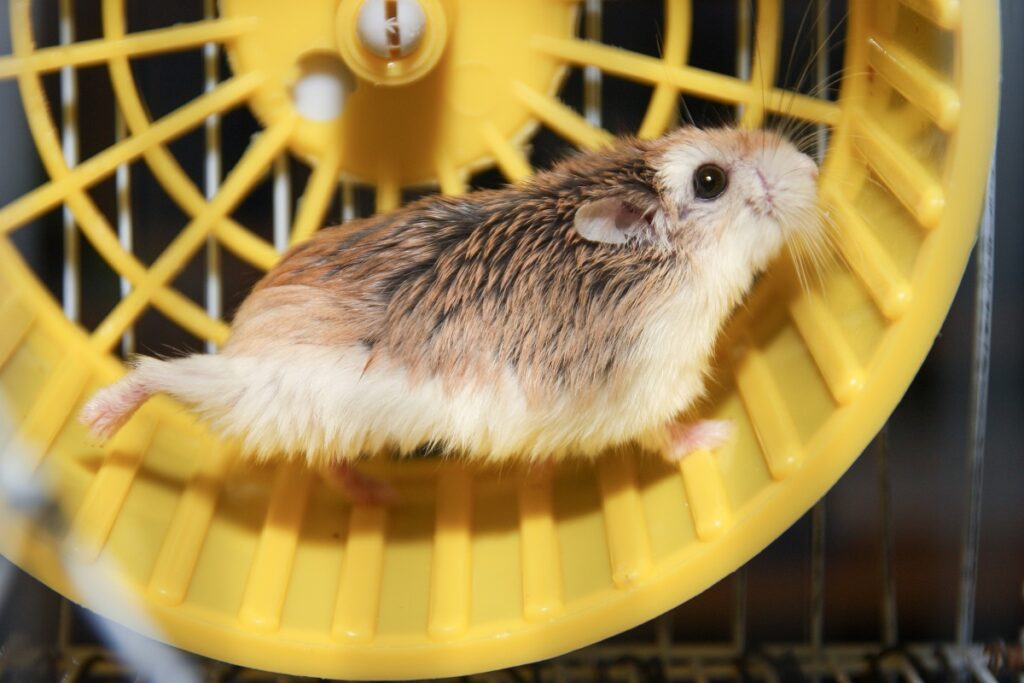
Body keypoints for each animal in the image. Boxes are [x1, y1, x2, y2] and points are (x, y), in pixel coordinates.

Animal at [80, 127, 821, 503]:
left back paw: (377, 495)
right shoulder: (652, 388)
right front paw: (719, 434)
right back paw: (97, 418)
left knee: (325, 462)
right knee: (160, 373)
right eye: (709, 180)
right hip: (257, 394)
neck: (669, 264)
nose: (813, 168)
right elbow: (668, 434)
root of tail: (244, 331)